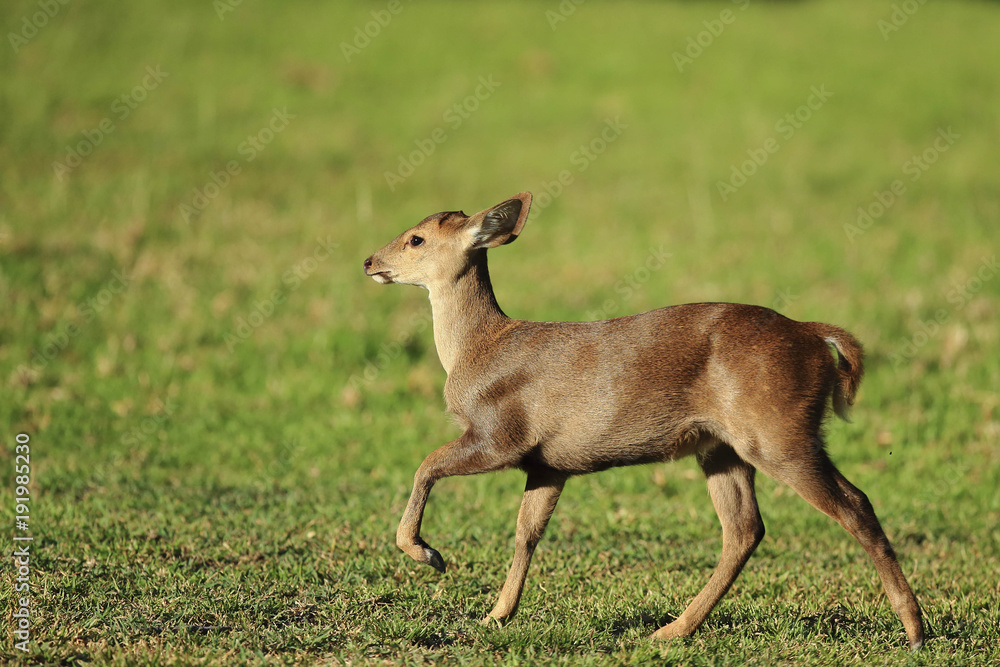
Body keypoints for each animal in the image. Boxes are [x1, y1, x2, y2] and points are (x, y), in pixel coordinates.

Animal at [362, 192, 925, 650]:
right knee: (745, 529)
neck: (476, 350)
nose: (369, 260)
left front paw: (427, 554)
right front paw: (496, 615)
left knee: (855, 504)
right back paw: (672, 630)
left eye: (416, 238)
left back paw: (915, 628)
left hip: (778, 431)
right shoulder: (548, 463)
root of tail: (815, 336)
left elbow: (426, 465)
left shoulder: (501, 432)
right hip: (721, 446)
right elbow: (526, 532)